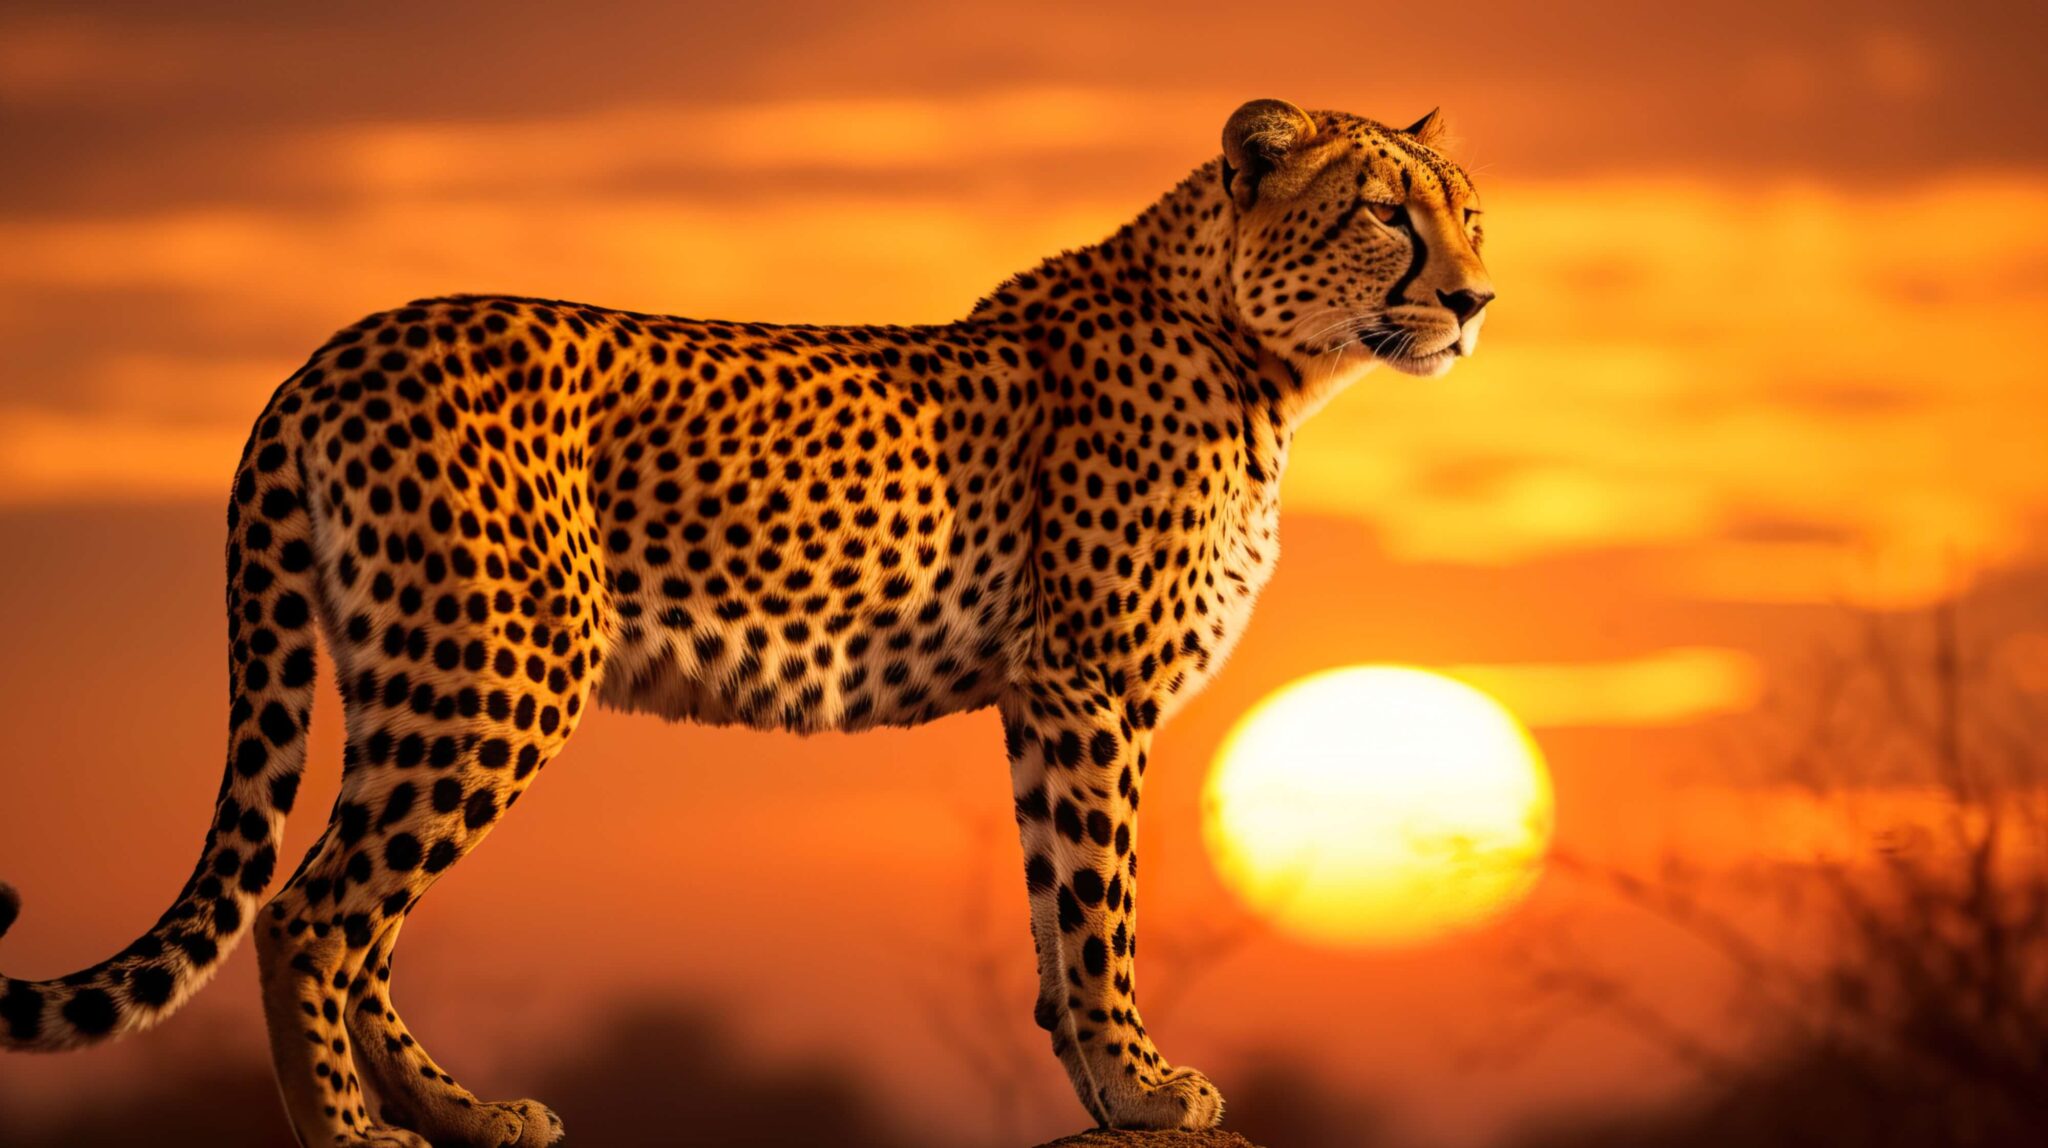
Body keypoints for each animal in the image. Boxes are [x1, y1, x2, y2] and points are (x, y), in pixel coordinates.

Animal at [0, 98, 1493, 1145]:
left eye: (1473, 217)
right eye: (1385, 212)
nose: (1474, 299)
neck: (1269, 363)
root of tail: (333, 348)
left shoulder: (1040, 698)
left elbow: (1050, 914)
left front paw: (1099, 1084)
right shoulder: (1088, 687)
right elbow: (1095, 904)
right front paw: (1139, 1086)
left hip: (417, 673)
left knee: (363, 919)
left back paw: (467, 1114)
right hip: (501, 666)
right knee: (310, 911)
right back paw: (358, 1139)